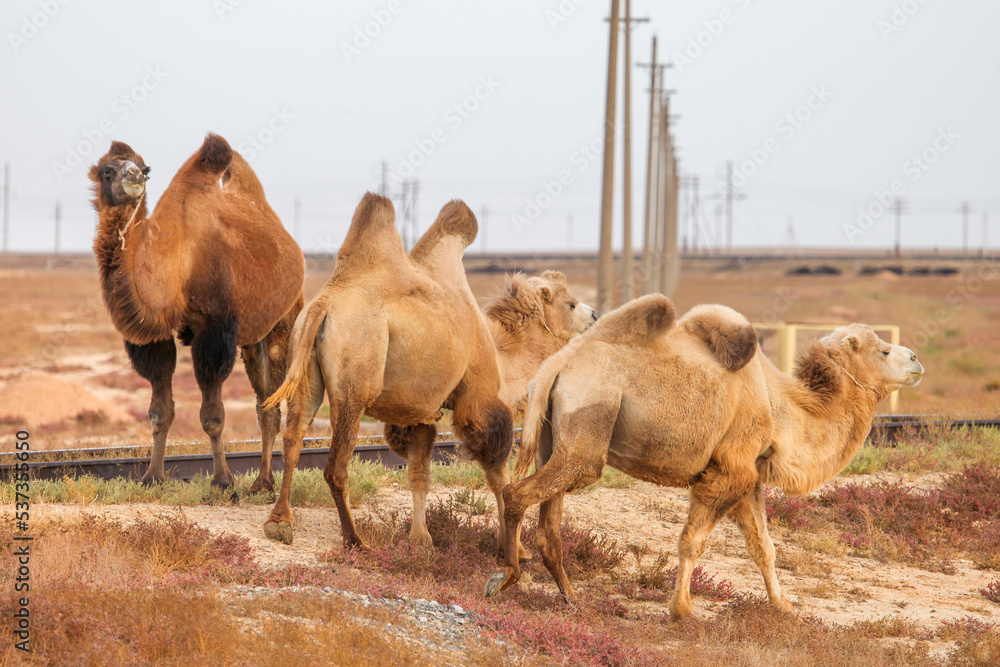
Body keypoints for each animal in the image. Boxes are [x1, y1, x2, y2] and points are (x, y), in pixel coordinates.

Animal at [90, 135, 304, 491]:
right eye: (108, 170)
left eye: (145, 169)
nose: (134, 177)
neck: (179, 264)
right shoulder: (156, 337)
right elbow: (160, 412)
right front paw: (153, 477)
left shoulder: (215, 329)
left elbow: (212, 416)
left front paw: (223, 481)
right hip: (252, 338)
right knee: (264, 405)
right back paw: (262, 481)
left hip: (284, 319)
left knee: (275, 399)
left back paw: (264, 482)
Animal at [260, 194, 595, 553]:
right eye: (571, 303)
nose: (594, 314)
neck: (500, 353)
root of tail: (324, 305)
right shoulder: (479, 399)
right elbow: (498, 474)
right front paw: (516, 549)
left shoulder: (419, 414)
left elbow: (419, 473)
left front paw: (421, 538)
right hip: (354, 382)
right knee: (336, 466)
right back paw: (355, 540)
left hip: (304, 366)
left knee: (293, 441)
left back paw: (279, 523)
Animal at [485, 295, 924, 622]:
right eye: (884, 350)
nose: (916, 359)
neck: (778, 406)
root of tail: (556, 365)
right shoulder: (726, 471)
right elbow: (692, 541)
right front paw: (682, 610)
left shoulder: (749, 478)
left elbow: (764, 547)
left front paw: (784, 607)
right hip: (590, 420)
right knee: (519, 493)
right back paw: (505, 576)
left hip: (558, 438)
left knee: (550, 522)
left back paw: (573, 599)